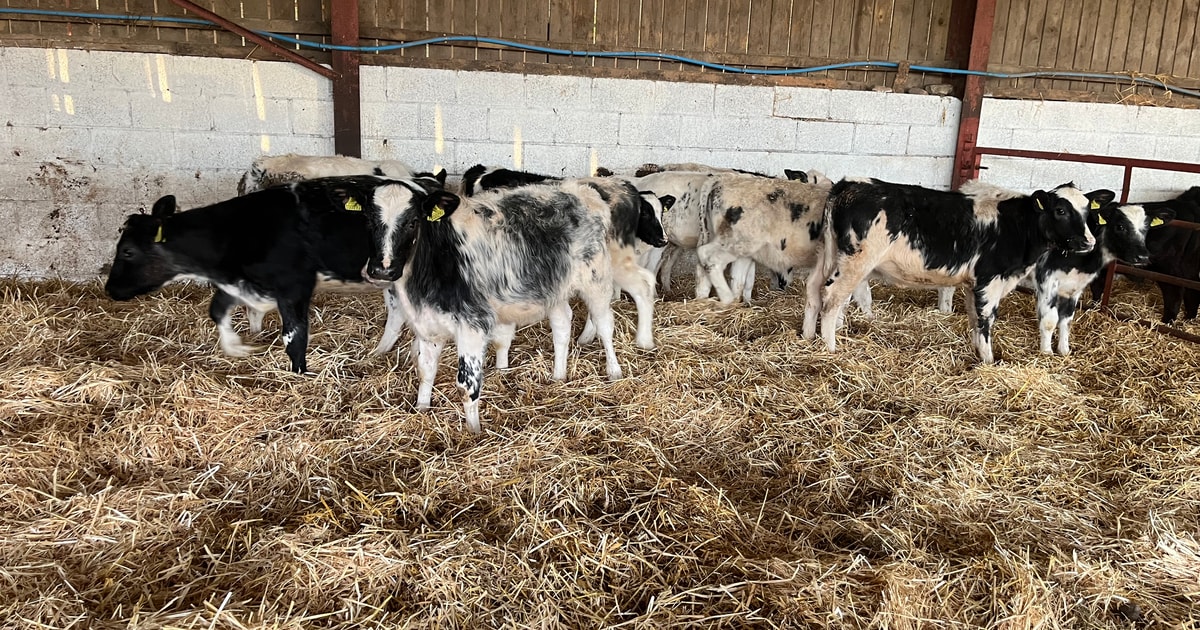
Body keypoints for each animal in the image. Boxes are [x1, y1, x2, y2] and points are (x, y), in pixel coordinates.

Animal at [105, 176, 393, 374]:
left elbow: (294, 336)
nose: (109, 289)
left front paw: (299, 375)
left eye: (127, 251)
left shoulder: (295, 285)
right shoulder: (237, 282)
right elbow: (216, 311)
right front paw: (237, 345)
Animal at [355, 179, 628, 433]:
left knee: (605, 324)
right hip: (554, 288)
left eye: (412, 222)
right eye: (368, 220)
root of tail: (580, 188)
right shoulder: (427, 326)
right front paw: (422, 408)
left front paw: (473, 432)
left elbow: (467, 385)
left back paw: (614, 371)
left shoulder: (473, 325)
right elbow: (425, 370)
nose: (382, 269)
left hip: (596, 278)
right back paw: (558, 375)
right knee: (562, 324)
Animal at [804, 179, 1113, 364]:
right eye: (1060, 210)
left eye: (1088, 211)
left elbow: (975, 319)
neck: (1017, 225)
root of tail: (850, 185)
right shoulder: (990, 280)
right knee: (832, 298)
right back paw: (830, 347)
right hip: (855, 262)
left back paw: (807, 336)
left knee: (813, 289)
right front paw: (989, 360)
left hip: (830, 256)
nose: (1088, 242)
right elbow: (987, 319)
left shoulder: (972, 283)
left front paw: (978, 352)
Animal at [1035, 201, 1175, 355]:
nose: (1142, 257)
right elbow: (1049, 321)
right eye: (1120, 226)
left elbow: (1066, 320)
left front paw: (1064, 350)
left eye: (1147, 227)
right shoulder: (1047, 280)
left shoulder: (1075, 288)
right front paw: (1046, 352)